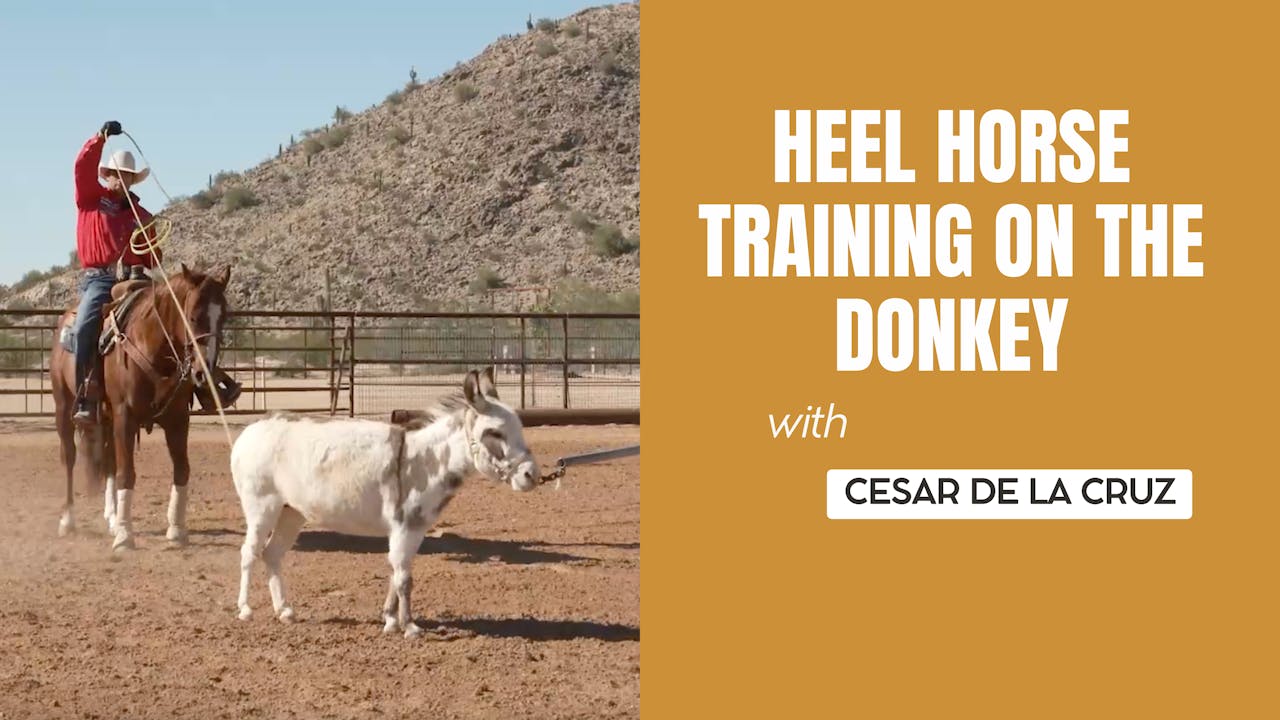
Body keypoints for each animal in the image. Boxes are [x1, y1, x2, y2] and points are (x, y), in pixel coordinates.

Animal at [50, 263, 232, 551]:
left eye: (223, 317)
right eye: (192, 316)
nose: (204, 373)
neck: (152, 345)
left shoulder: (178, 418)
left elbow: (182, 470)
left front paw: (176, 530)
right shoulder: (125, 416)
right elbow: (127, 474)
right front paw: (125, 536)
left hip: (107, 418)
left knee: (109, 462)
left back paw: (112, 518)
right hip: (64, 406)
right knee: (69, 456)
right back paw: (68, 520)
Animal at [229, 367, 539, 638]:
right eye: (495, 433)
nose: (532, 475)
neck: (425, 462)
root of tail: (252, 429)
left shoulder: (412, 530)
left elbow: (397, 571)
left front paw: (390, 620)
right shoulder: (404, 526)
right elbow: (404, 578)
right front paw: (410, 627)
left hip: (291, 511)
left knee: (272, 554)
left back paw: (284, 611)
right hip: (262, 507)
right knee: (249, 552)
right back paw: (245, 609)